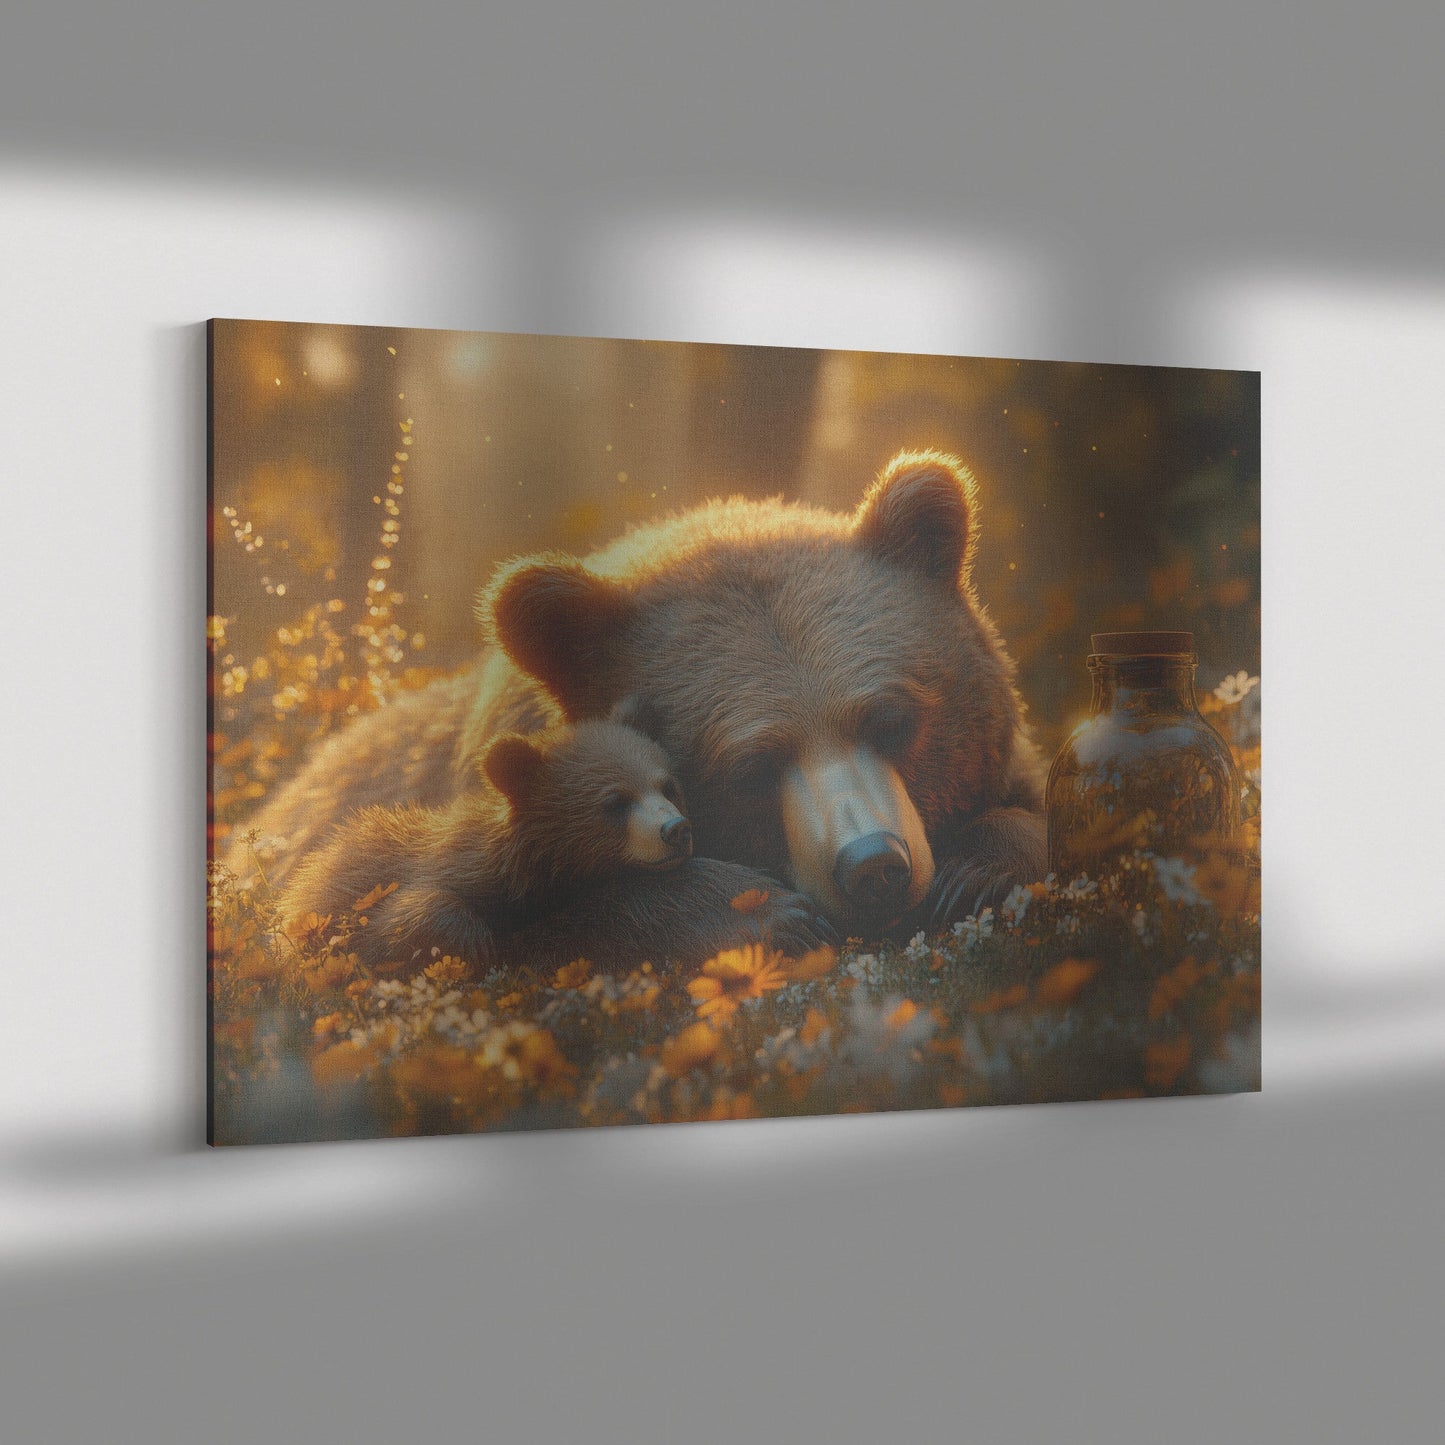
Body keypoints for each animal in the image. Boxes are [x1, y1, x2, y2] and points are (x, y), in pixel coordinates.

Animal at [279, 721, 696, 973]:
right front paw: (475, 948)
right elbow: (395, 921)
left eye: (668, 786)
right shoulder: (419, 872)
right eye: (615, 802)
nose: (675, 830)